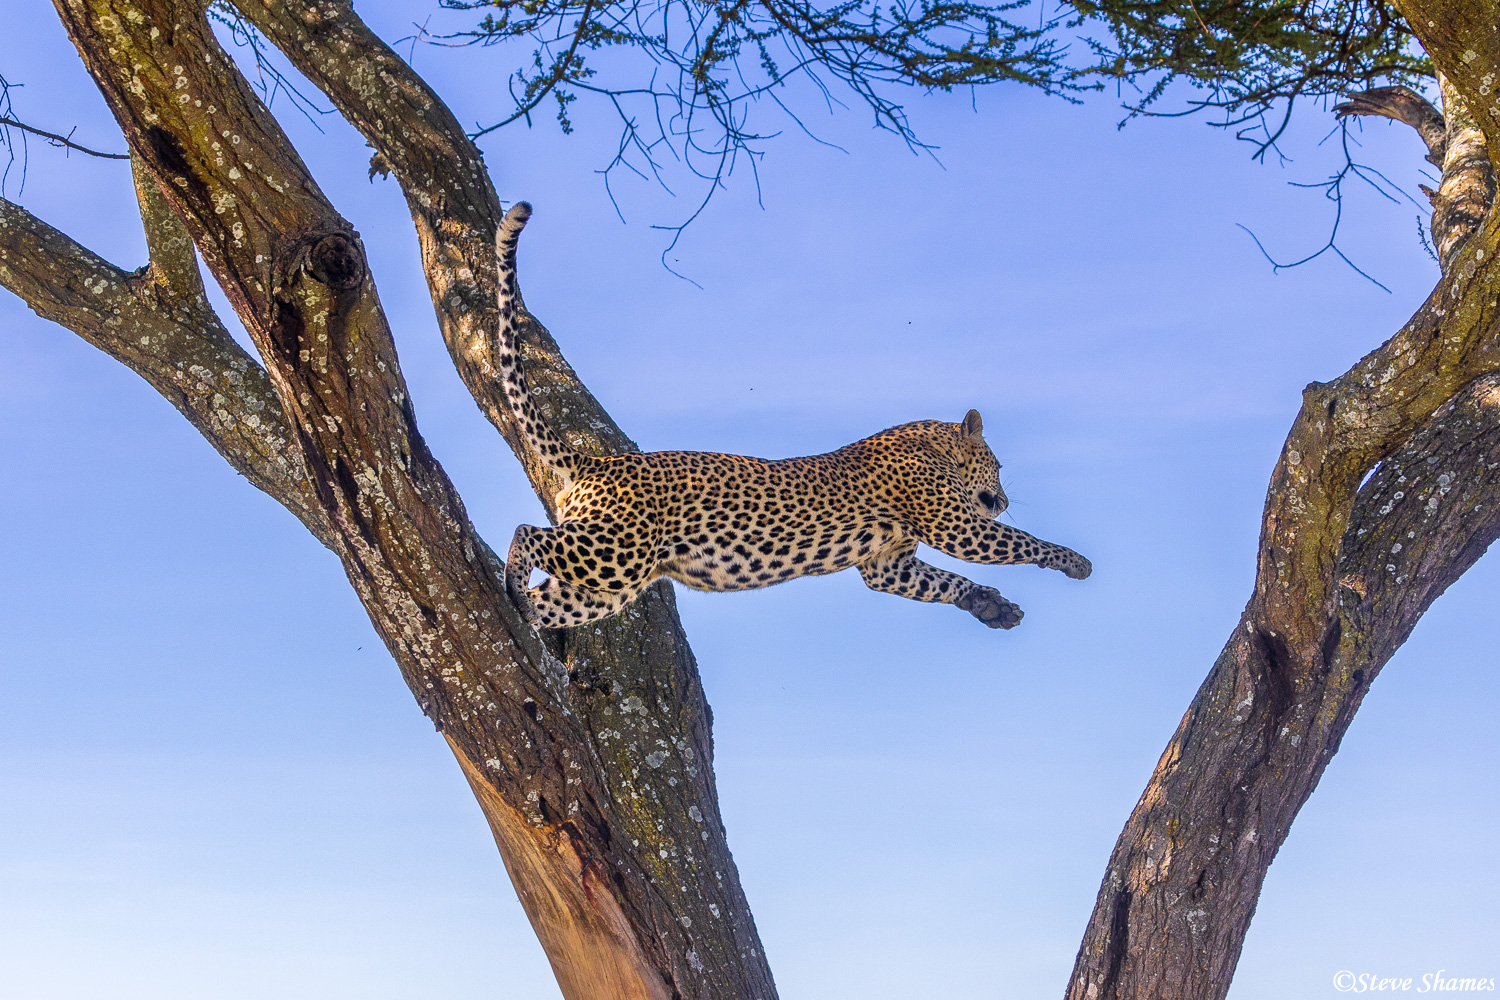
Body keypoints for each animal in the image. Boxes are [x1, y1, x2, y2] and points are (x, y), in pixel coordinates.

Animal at [495, 202, 1092, 631]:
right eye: (997, 464)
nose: (1005, 499)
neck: (932, 443)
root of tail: (595, 463)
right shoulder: (959, 526)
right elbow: (1021, 541)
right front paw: (1074, 561)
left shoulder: (890, 564)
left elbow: (942, 583)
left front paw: (992, 606)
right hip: (614, 549)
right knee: (526, 533)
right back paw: (511, 585)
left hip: (608, 582)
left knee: (553, 597)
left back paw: (523, 612)